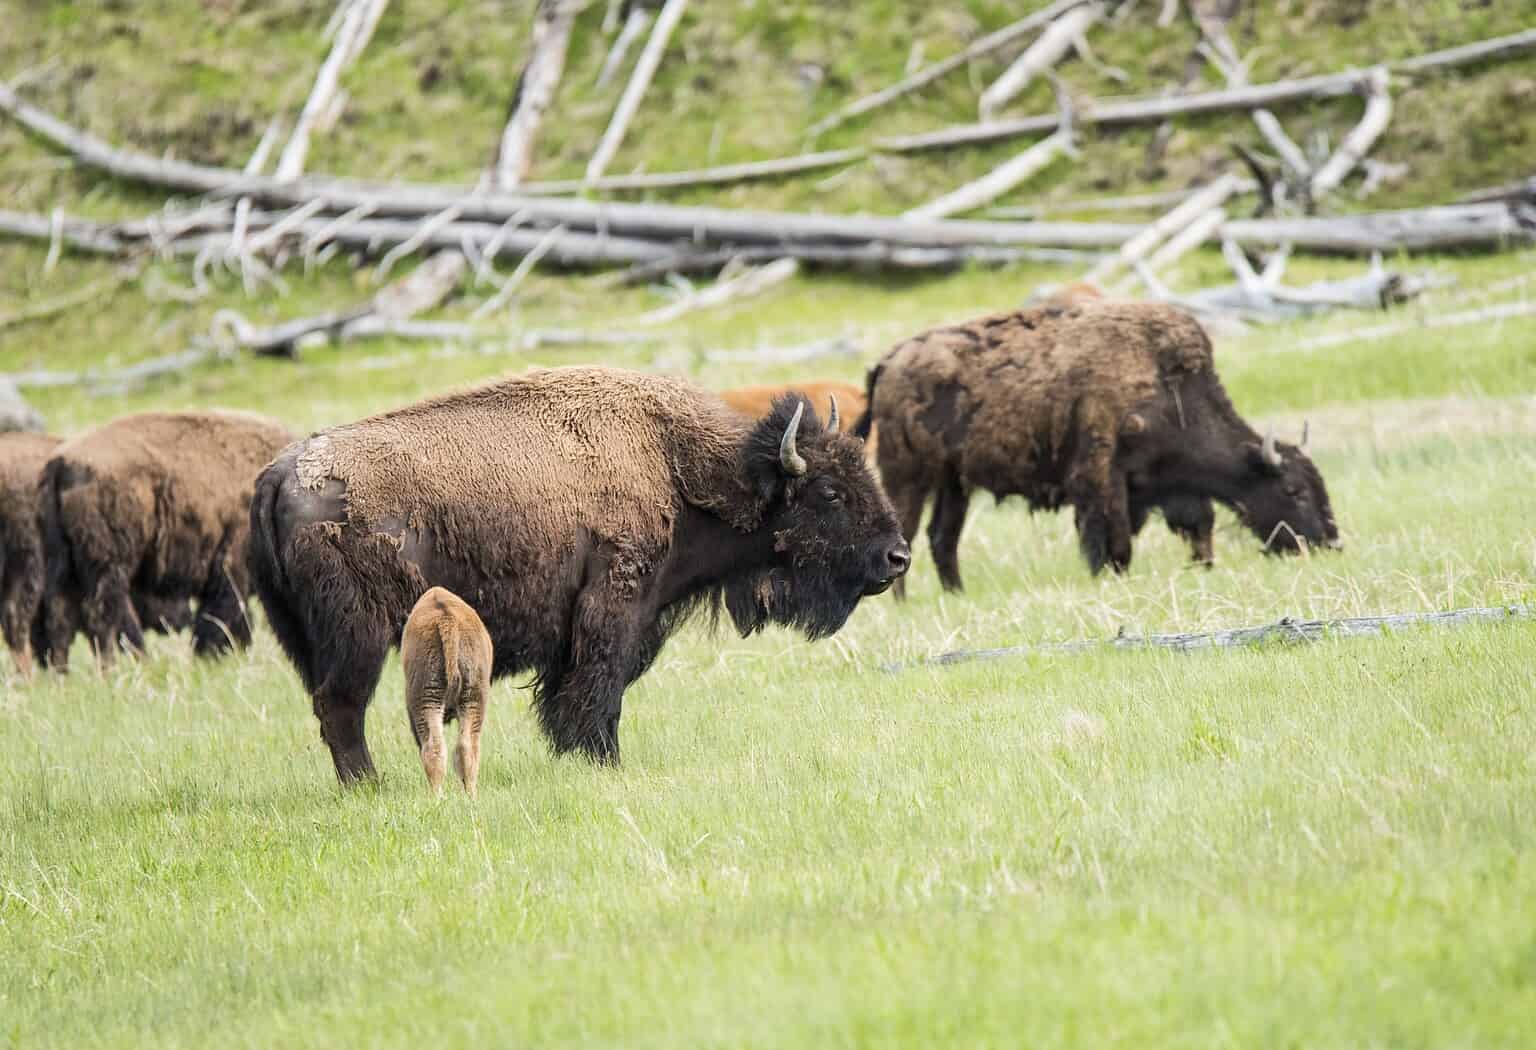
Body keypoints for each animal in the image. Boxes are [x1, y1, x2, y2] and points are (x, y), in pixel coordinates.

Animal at [250, 366, 909, 783]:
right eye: (829, 492)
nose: (896, 557)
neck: (681, 469)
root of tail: (281, 473)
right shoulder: (614, 609)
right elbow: (601, 691)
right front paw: (604, 761)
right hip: (358, 634)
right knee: (342, 706)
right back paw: (371, 786)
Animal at [854, 300, 1337, 593]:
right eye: (1293, 490)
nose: (1329, 544)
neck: (1169, 387)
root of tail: (890, 359)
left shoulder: (1166, 486)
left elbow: (1199, 526)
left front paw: (1202, 567)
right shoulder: (1102, 477)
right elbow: (1112, 539)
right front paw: (1108, 575)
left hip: (955, 482)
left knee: (943, 538)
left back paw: (957, 594)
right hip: (907, 474)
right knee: (908, 535)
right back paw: (903, 600)